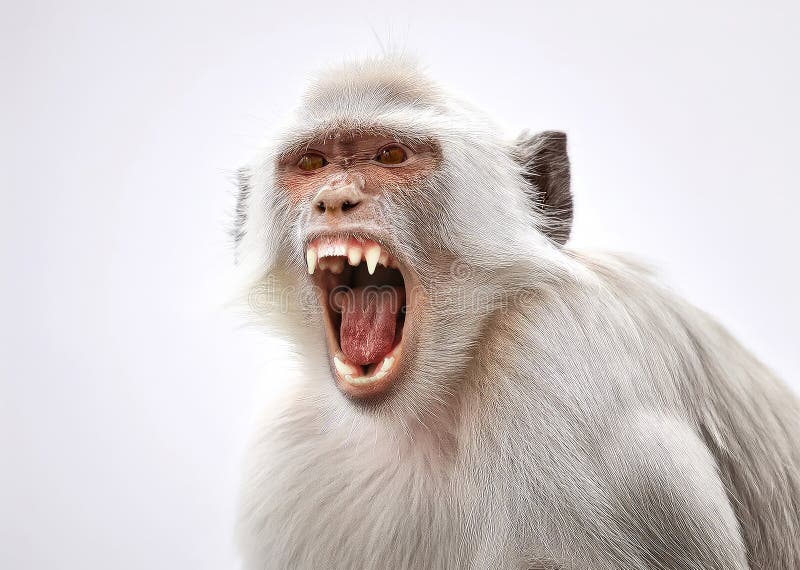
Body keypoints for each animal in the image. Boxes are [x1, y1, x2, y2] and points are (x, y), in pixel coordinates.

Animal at [232, 56, 800, 569]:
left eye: (391, 155)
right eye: (313, 165)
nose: (334, 200)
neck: (423, 415)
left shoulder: (558, 366)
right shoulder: (287, 455)